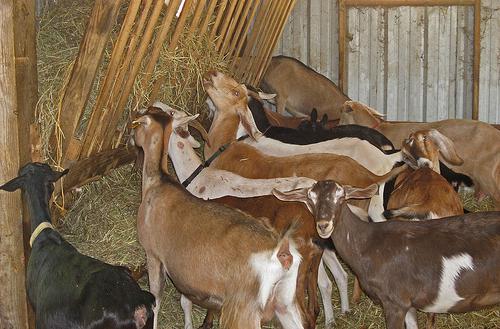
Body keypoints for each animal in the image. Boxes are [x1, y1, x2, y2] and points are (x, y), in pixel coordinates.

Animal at [131, 109, 302, 328]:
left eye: (138, 124)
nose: (132, 138)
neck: (158, 182)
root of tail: (282, 253)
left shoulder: (153, 254)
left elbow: (156, 301)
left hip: (243, 310)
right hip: (285, 303)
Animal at [274, 179, 500, 328]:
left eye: (342, 196)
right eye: (309, 198)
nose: (323, 225)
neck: (368, 244)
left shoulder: (394, 302)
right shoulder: (408, 304)